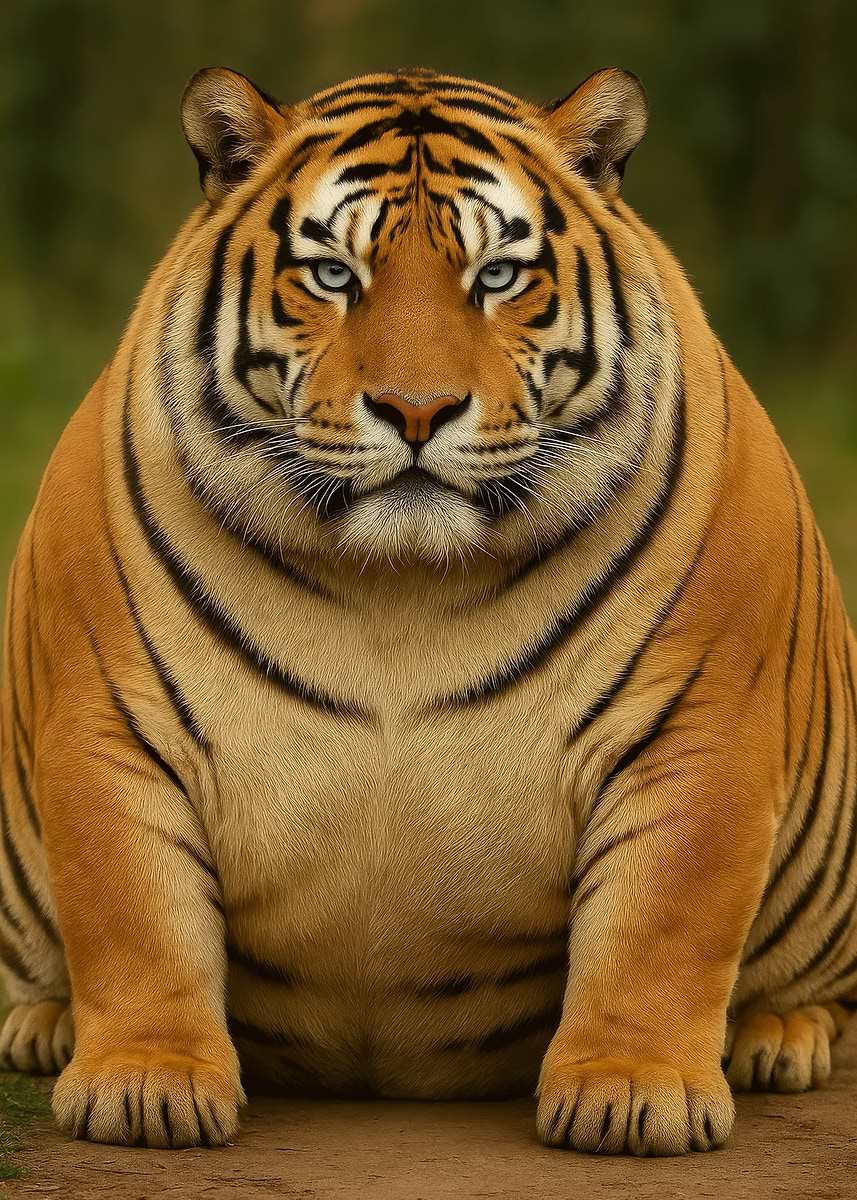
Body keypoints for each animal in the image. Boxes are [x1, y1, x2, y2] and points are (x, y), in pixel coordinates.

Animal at [0, 62, 854, 1158]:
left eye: (497, 277)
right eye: (332, 276)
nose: (415, 410)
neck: (395, 588)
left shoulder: (693, 728)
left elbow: (664, 918)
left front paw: (630, 1090)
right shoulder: (112, 723)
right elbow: (131, 913)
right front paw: (146, 1082)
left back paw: (776, 1039)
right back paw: (46, 1025)